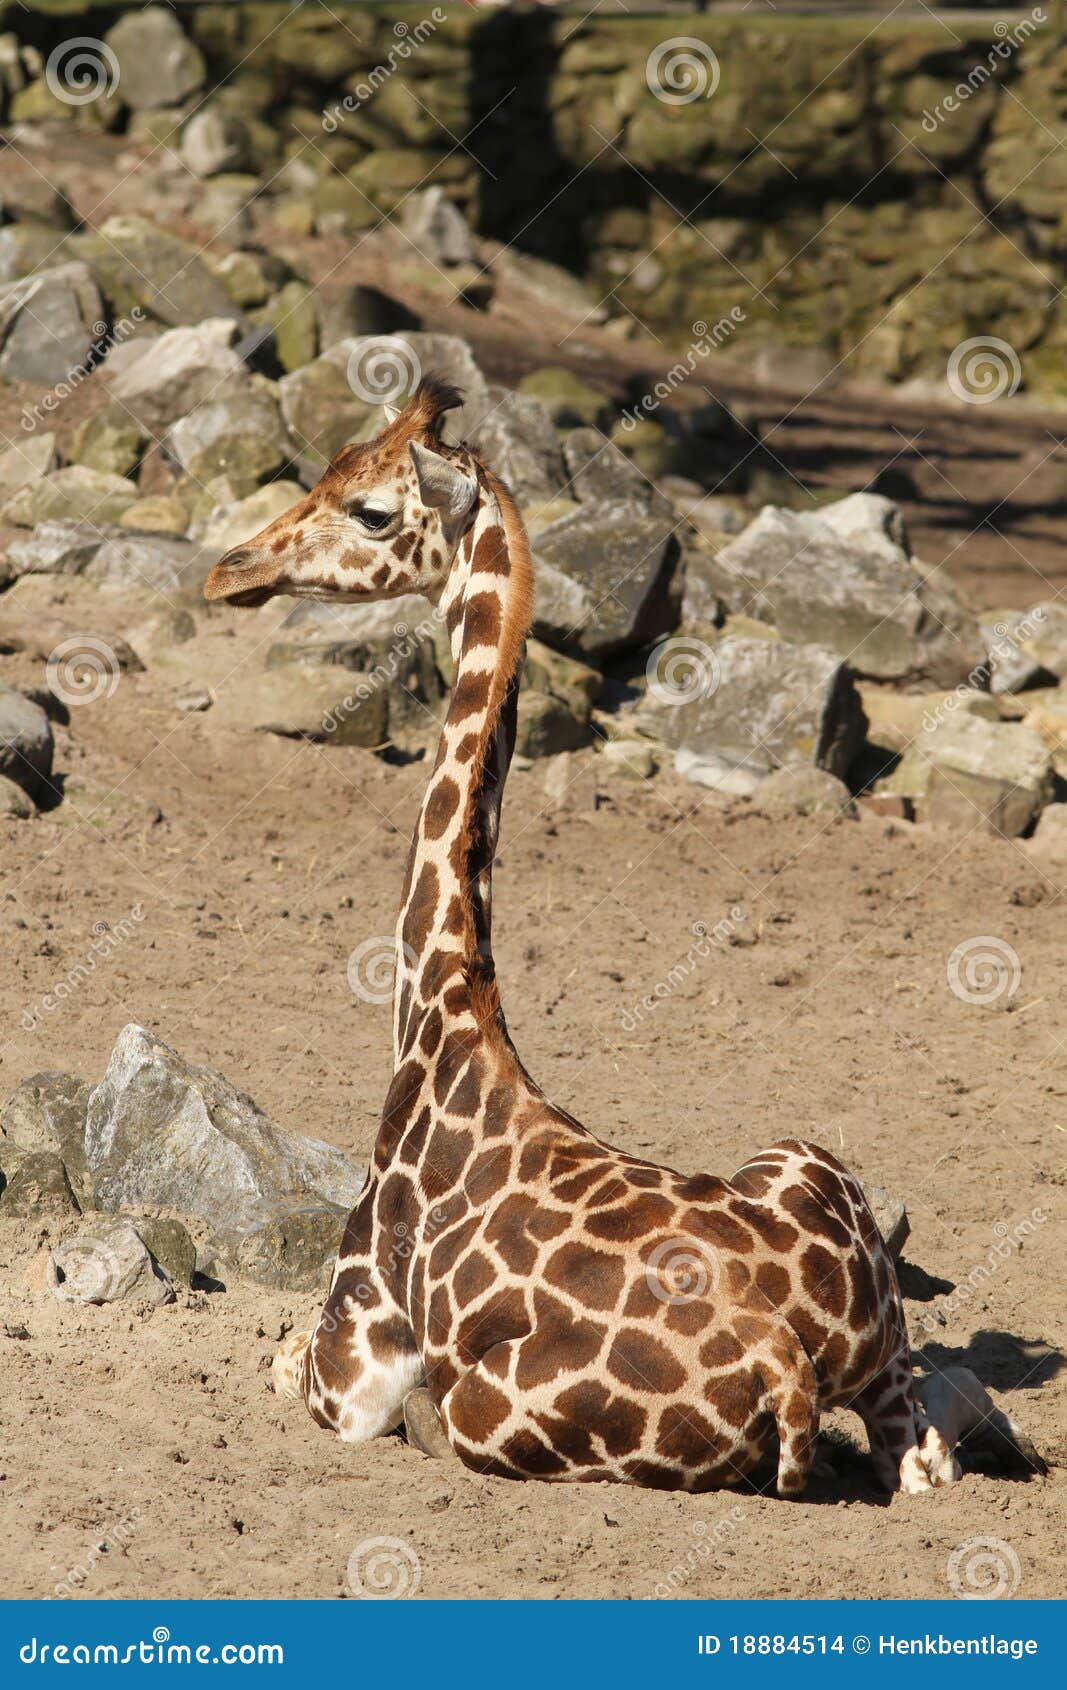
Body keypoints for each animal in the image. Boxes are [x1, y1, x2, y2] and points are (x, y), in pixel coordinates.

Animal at [203, 378, 961, 1496]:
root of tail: (788, 1364)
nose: (231, 570)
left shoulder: (352, 1363)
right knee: (924, 1457)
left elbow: (286, 1357)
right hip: (850, 1269)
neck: (438, 1020)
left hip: (488, 1410)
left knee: (448, 1418)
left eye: (371, 510)